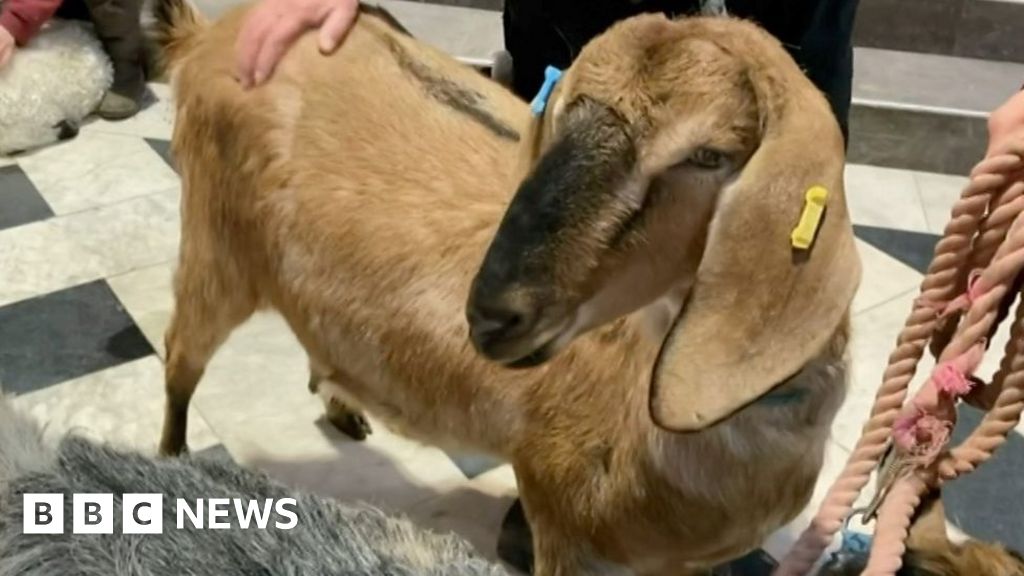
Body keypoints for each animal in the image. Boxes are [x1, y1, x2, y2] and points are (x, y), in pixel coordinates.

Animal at [153, 1, 862, 573]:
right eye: (560, 113)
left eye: (709, 155)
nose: (492, 316)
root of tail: (208, 36)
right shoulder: (562, 521)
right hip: (215, 247)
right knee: (180, 358)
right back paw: (172, 462)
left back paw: (341, 406)